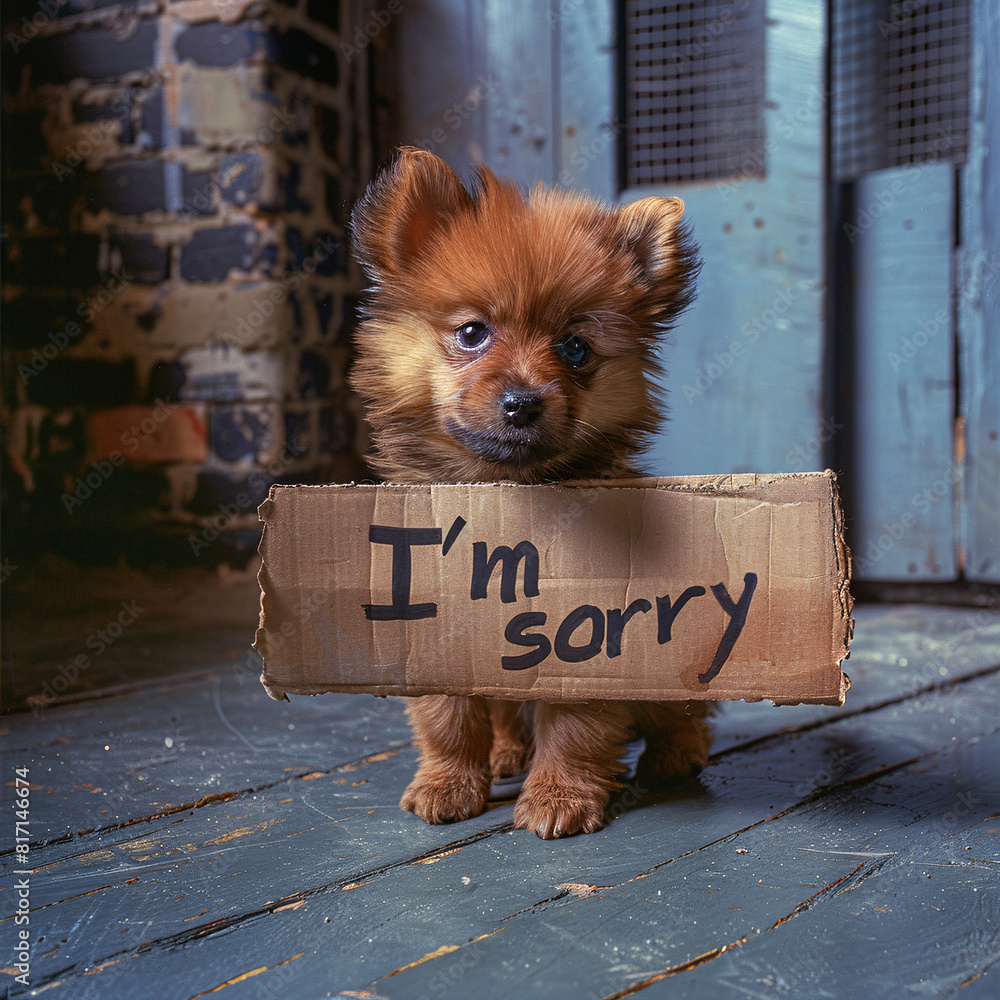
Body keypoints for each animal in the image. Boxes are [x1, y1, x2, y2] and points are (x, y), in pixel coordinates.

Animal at [348, 147, 710, 838]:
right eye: (472, 333)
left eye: (574, 348)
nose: (523, 402)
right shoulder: (434, 627)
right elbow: (447, 717)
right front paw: (447, 783)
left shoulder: (589, 638)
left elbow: (574, 725)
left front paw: (559, 795)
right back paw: (506, 753)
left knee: (679, 710)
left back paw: (677, 755)